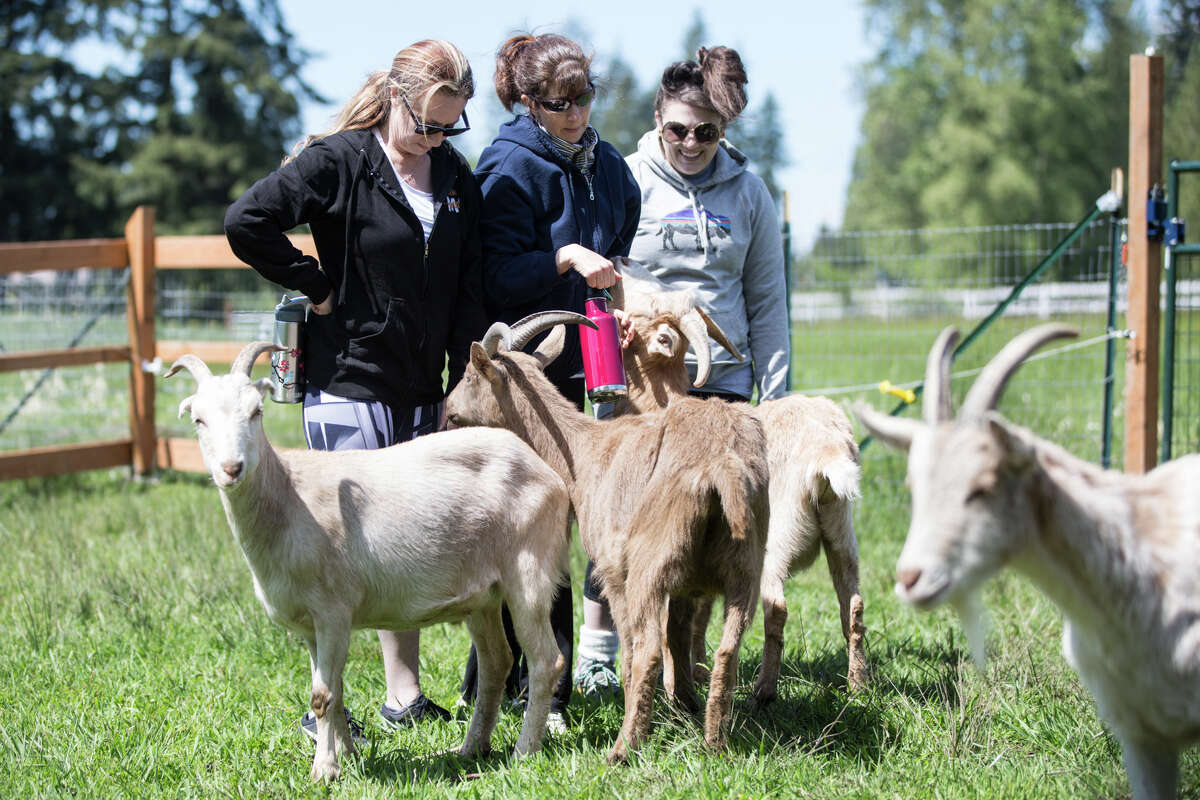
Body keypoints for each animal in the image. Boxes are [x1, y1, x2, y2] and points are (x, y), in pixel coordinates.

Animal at [166, 342, 571, 782]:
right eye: (199, 420)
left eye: (256, 411)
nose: (231, 469)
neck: (290, 497)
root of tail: (546, 470)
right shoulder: (311, 625)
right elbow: (335, 691)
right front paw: (348, 756)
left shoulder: (333, 610)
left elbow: (322, 695)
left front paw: (324, 770)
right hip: (483, 594)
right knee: (497, 661)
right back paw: (470, 749)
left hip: (528, 570)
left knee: (545, 661)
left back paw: (523, 752)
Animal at [443, 312, 770, 764]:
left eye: (469, 375)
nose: (446, 412)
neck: (583, 454)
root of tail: (723, 462)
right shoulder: (686, 588)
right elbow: (679, 638)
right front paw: (682, 709)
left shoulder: (615, 574)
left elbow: (633, 652)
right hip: (746, 566)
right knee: (727, 649)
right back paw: (714, 742)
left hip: (652, 564)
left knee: (647, 650)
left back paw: (622, 749)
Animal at [612, 270, 867, 702]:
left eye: (645, 308)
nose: (614, 269)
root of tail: (827, 448)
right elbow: (698, 613)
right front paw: (695, 672)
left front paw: (676, 684)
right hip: (841, 529)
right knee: (853, 604)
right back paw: (858, 685)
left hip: (777, 537)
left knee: (777, 606)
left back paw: (763, 691)